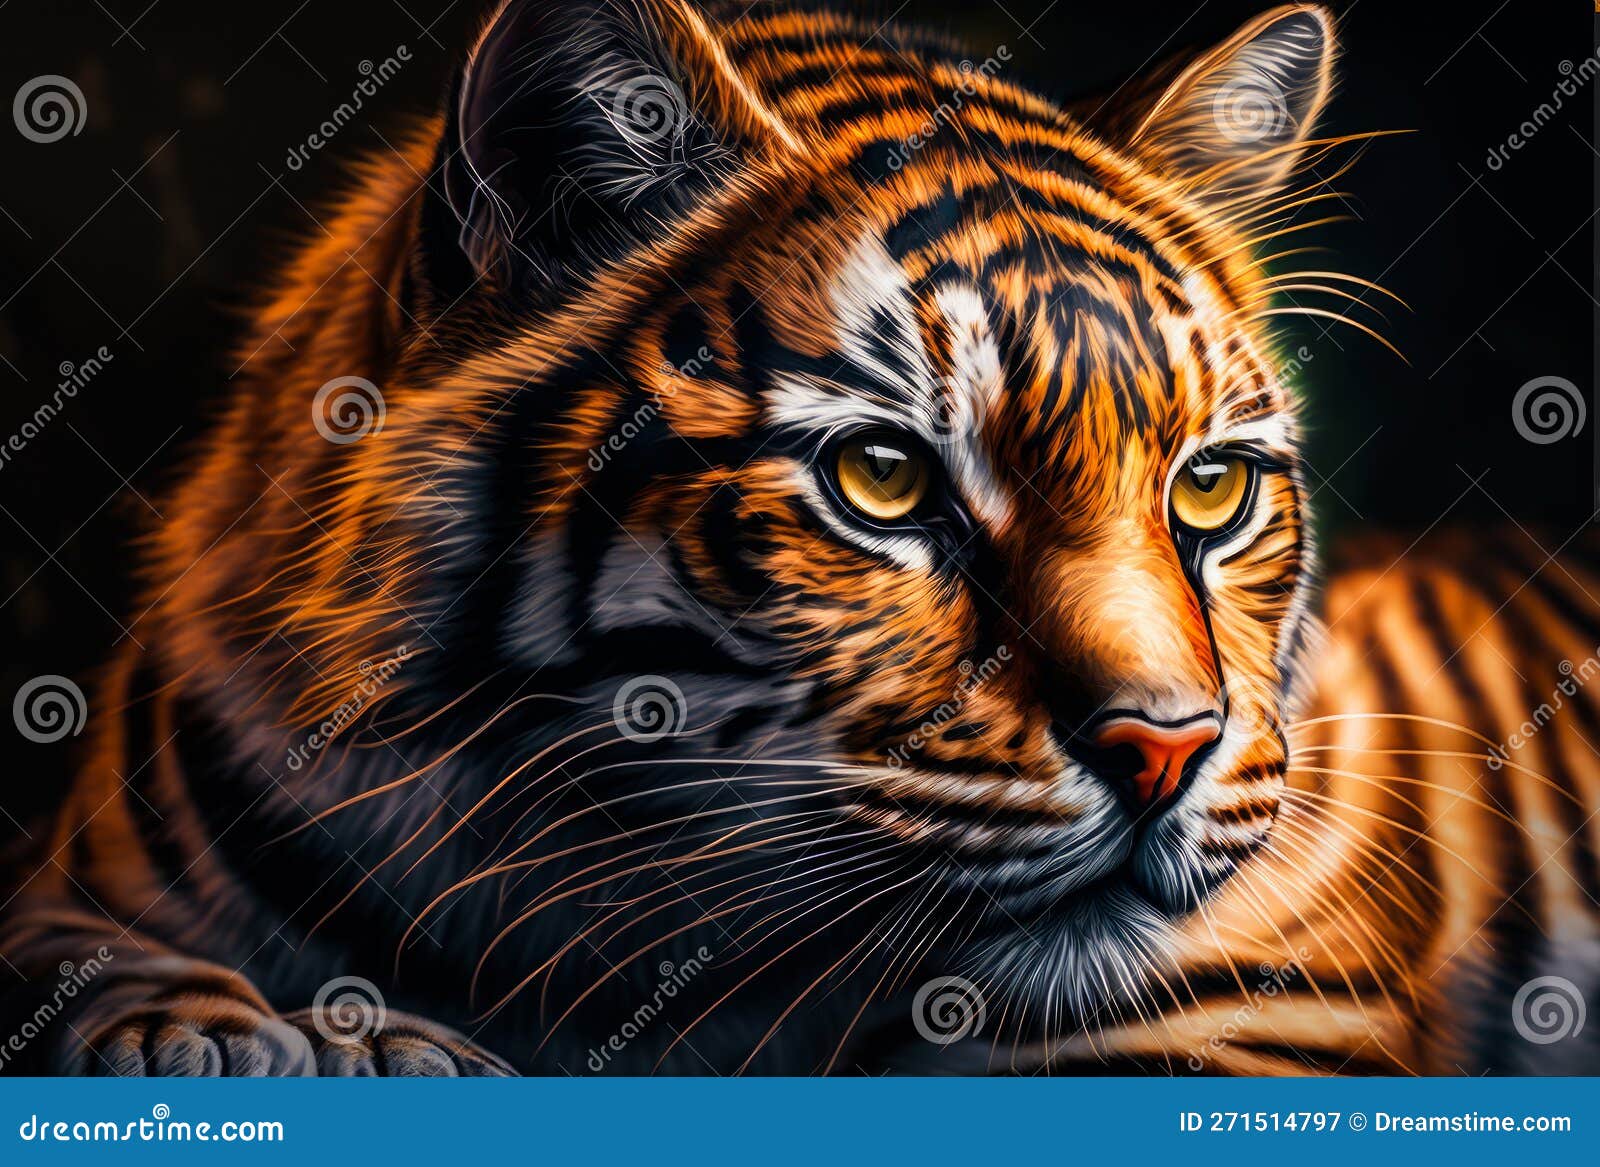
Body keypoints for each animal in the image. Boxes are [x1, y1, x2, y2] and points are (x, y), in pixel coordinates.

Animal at [3, 0, 1596, 1076]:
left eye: (1208, 490)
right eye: (884, 478)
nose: (1166, 748)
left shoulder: (1259, 1004)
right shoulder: (78, 892)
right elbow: (100, 975)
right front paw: (258, 1038)